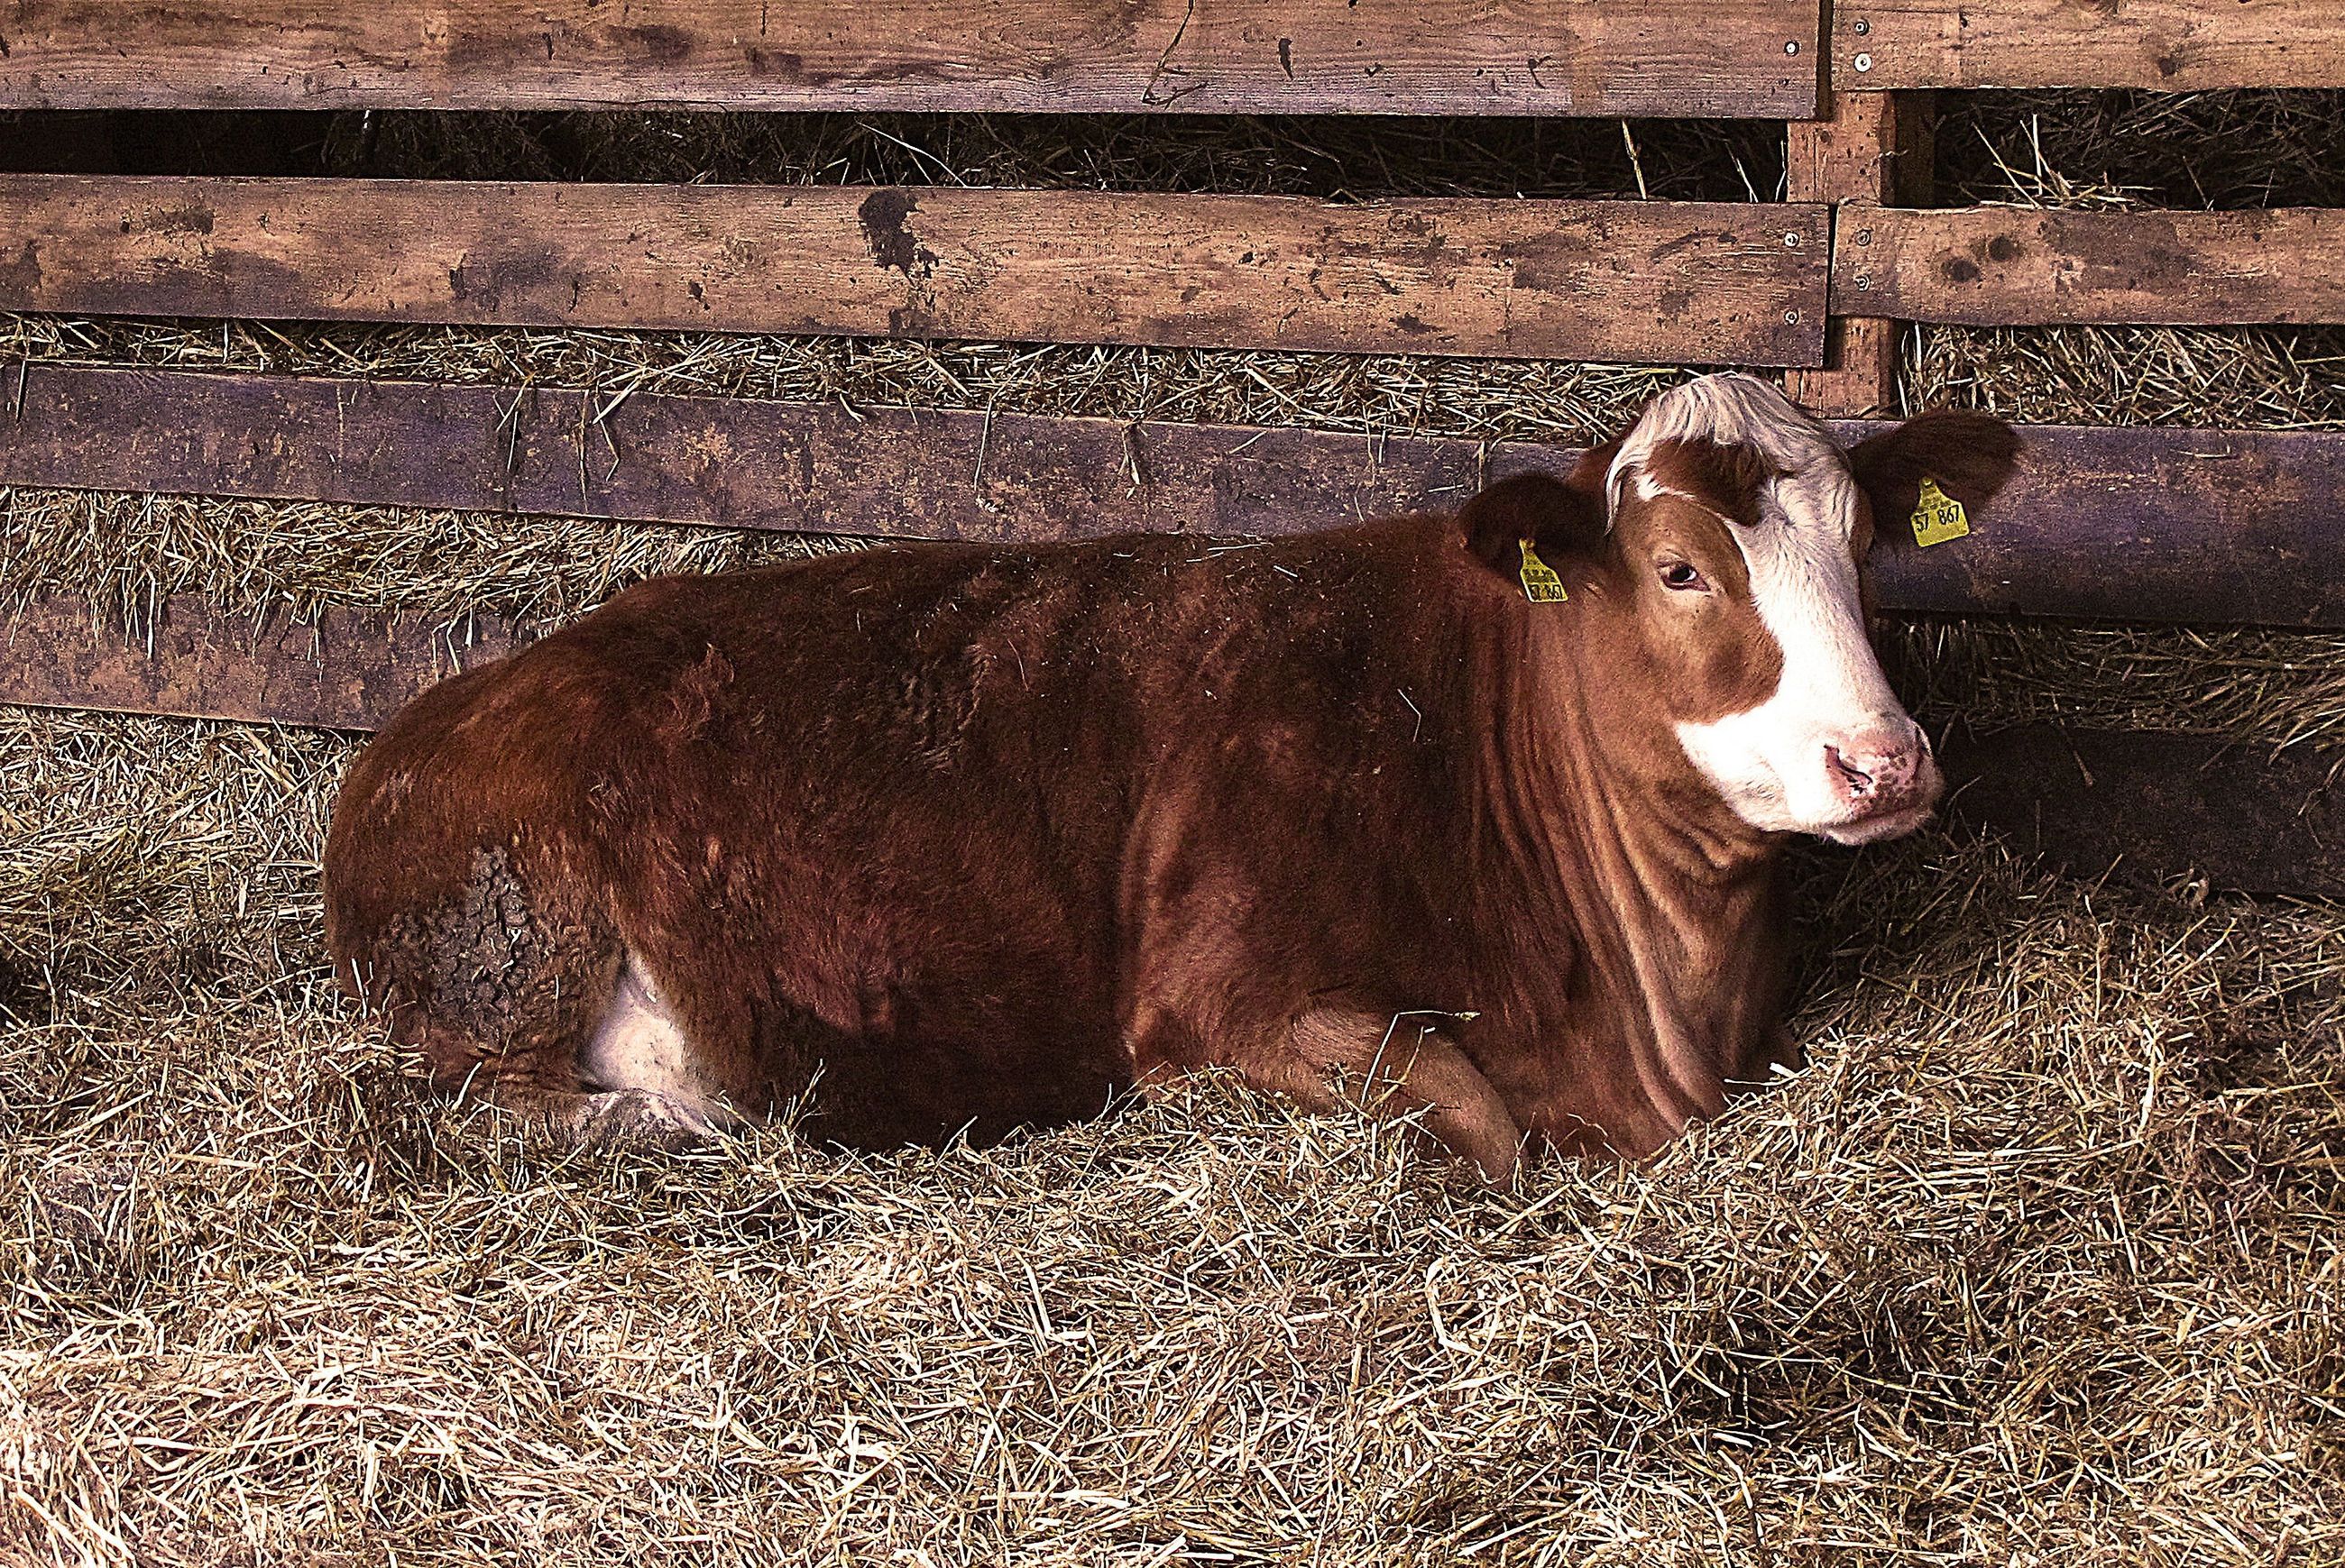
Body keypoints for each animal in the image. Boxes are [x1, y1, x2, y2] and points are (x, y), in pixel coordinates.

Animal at [323, 374, 2018, 1182]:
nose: (1885, 756)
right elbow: (1481, 1122)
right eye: (1677, 565)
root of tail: (424, 721)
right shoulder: (1221, 996)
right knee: (476, 1106)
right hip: (508, 962)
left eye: (1866, 545)